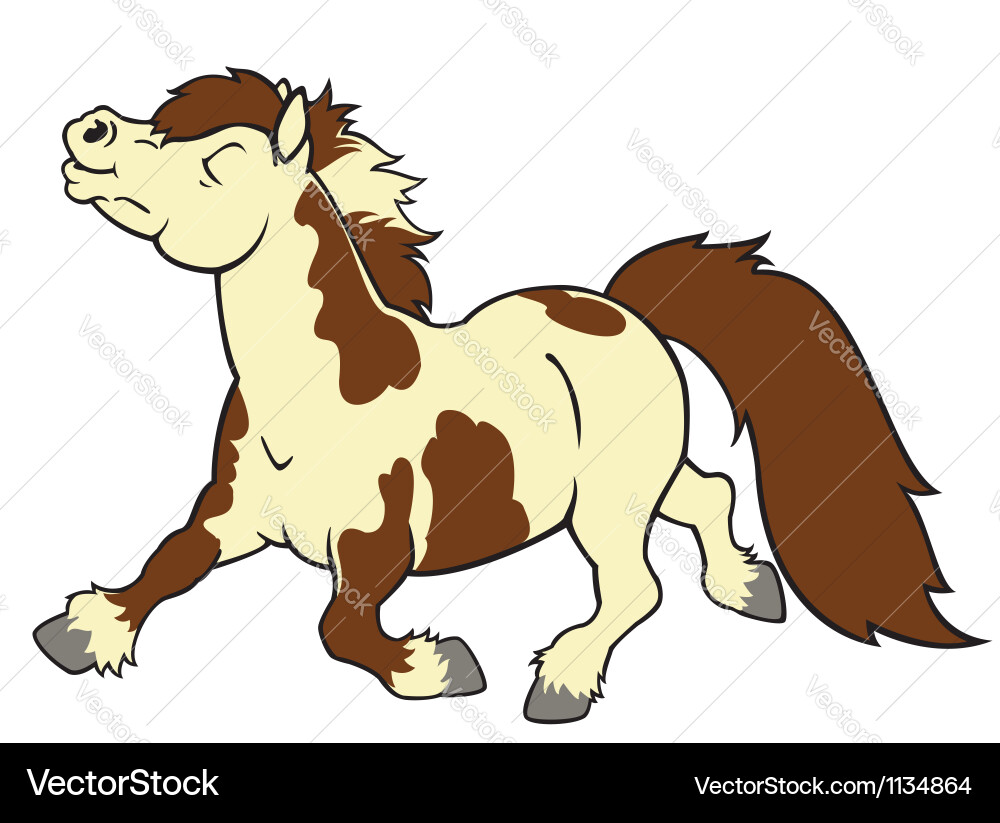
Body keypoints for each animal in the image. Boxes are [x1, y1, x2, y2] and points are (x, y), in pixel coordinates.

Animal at [36, 68, 982, 725]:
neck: (317, 397)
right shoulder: (232, 515)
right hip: (630, 481)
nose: (87, 130)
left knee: (638, 587)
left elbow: (339, 629)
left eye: (221, 162)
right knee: (707, 492)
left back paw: (563, 679)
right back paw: (748, 587)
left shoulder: (376, 549)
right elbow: (168, 563)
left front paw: (440, 666)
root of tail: (625, 311)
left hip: (607, 502)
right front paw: (85, 630)